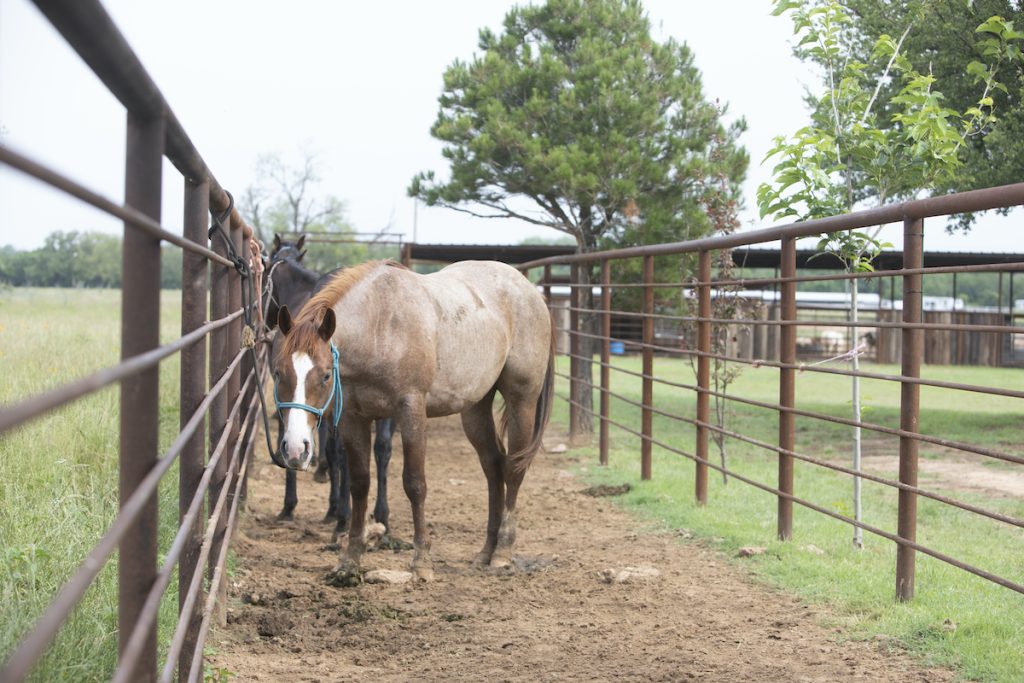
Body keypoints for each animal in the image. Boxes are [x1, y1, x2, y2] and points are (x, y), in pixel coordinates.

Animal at [274, 259, 554, 582]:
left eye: (324, 376)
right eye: (279, 372)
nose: (296, 449)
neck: (380, 326)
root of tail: (530, 292)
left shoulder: (411, 411)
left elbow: (415, 484)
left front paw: (421, 561)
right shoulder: (354, 419)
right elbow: (359, 484)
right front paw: (350, 560)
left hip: (522, 401)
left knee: (513, 469)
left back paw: (503, 553)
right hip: (475, 408)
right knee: (493, 467)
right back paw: (487, 551)